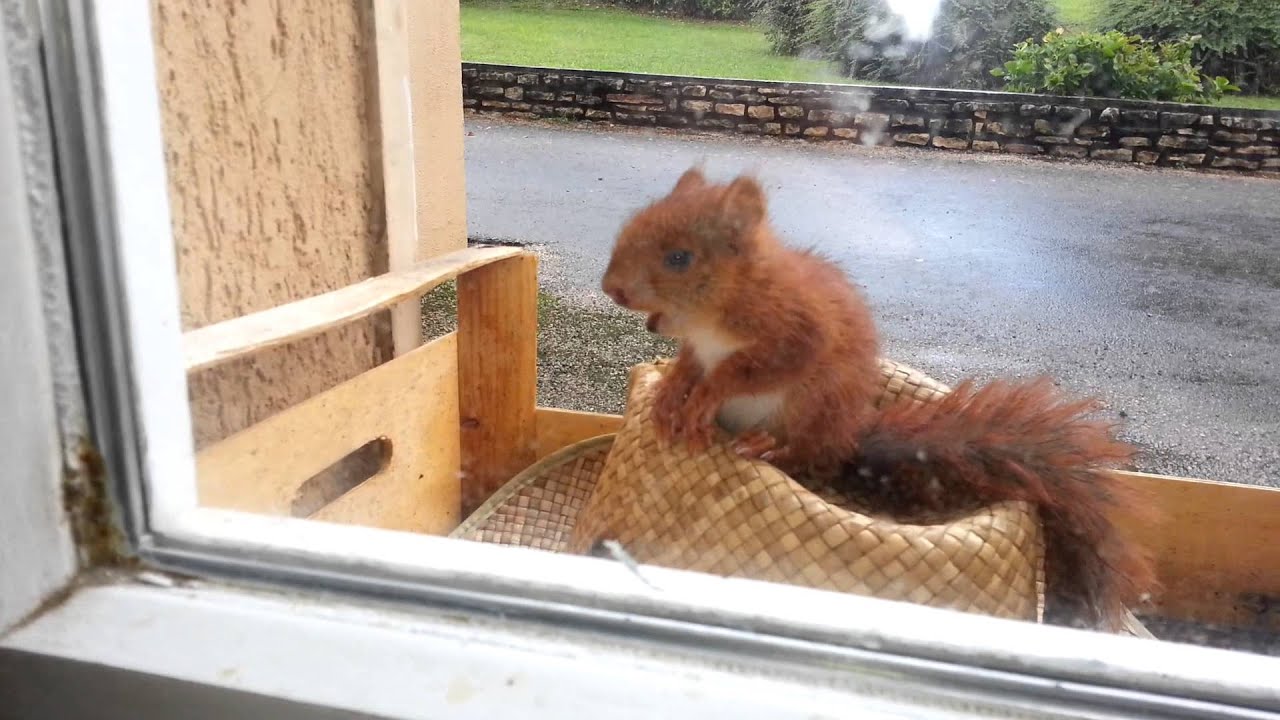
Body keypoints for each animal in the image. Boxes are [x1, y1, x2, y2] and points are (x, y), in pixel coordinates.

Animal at [600, 166, 1160, 633]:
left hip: (813, 404)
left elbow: (746, 371)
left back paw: (766, 447)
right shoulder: (697, 348)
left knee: (807, 457)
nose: (612, 289)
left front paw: (705, 395)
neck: (717, 309)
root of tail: (848, 439)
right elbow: (687, 368)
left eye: (680, 258)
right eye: (630, 227)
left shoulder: (795, 331)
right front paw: (670, 397)